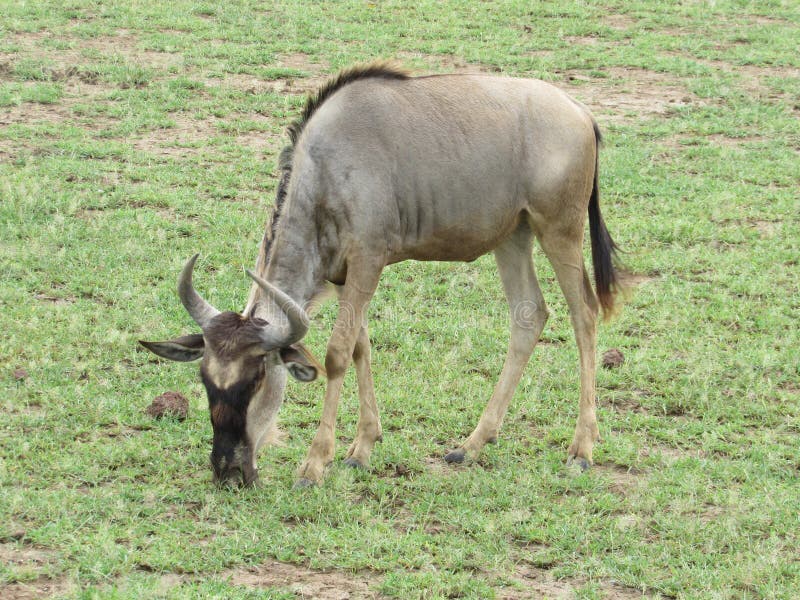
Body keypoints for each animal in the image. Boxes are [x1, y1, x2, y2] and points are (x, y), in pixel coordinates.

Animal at [140, 63, 623, 487]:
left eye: (256, 380)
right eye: (206, 382)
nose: (228, 472)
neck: (328, 168)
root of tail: (580, 112)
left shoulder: (368, 261)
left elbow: (337, 354)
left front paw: (314, 465)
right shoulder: (344, 276)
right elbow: (360, 346)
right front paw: (361, 450)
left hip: (559, 230)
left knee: (583, 315)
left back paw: (581, 449)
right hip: (513, 236)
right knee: (529, 315)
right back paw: (471, 443)